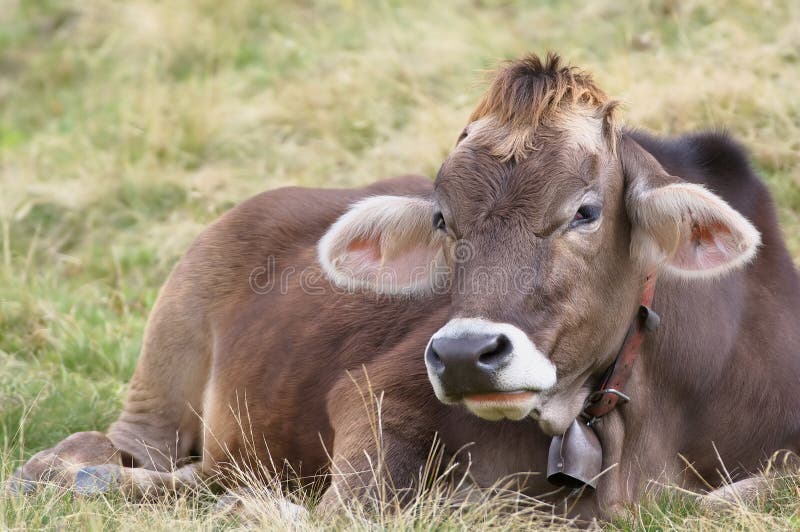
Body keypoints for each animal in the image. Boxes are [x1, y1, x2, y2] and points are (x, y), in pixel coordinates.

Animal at [8, 53, 800, 521]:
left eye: (586, 211)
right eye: (443, 217)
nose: (465, 354)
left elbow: (738, 497)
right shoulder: (374, 392)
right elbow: (351, 509)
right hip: (162, 388)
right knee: (112, 450)